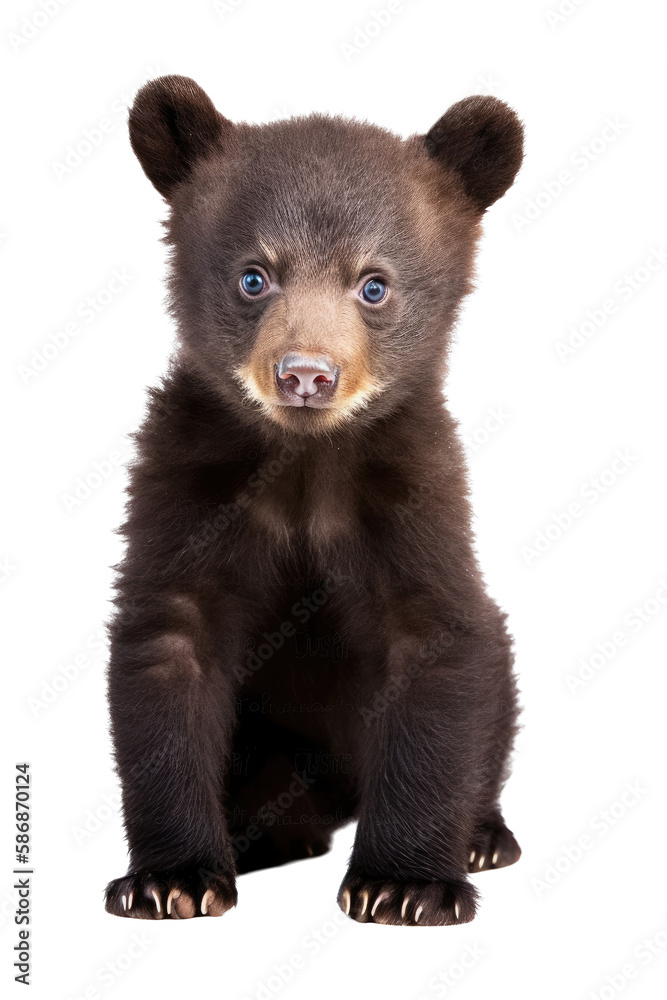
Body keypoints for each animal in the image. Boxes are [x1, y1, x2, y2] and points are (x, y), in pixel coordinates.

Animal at [104, 75, 524, 925]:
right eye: (253, 276)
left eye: (374, 285)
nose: (305, 374)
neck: (305, 462)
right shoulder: (183, 486)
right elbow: (167, 643)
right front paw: (170, 878)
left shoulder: (415, 497)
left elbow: (437, 643)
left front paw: (405, 884)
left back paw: (483, 836)